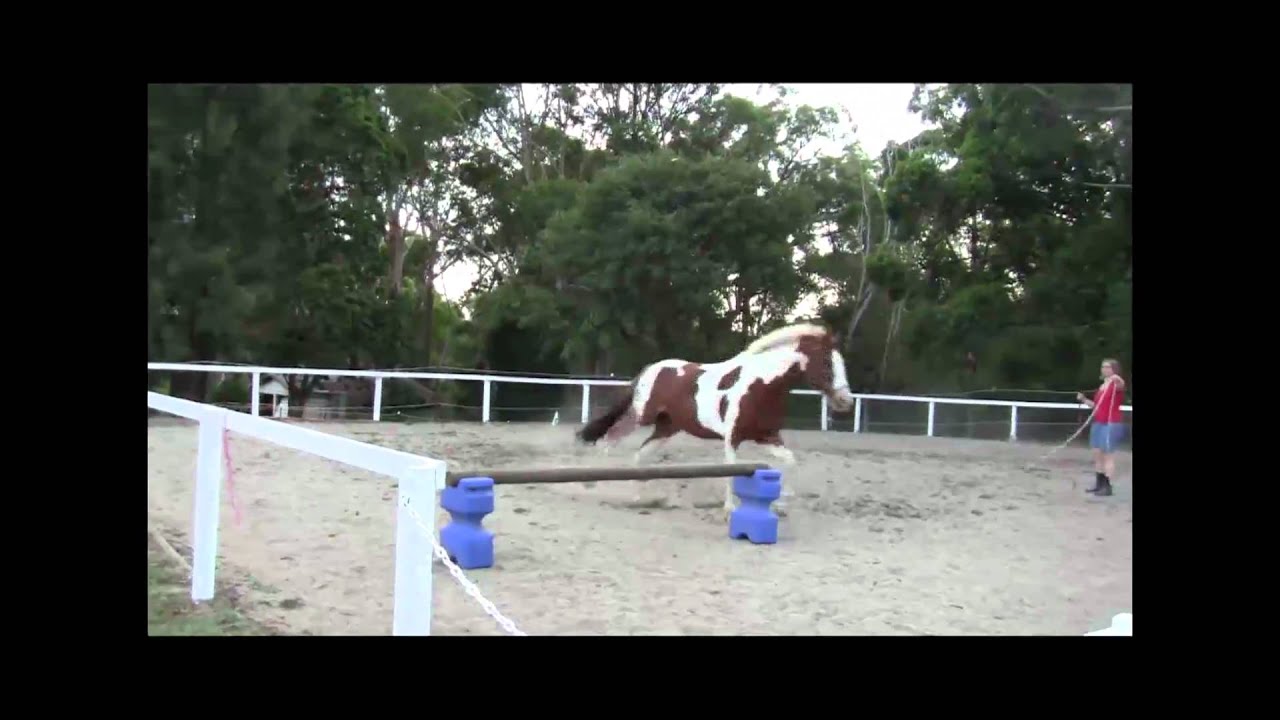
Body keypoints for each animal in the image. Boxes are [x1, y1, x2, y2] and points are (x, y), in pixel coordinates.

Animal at [576, 323, 856, 516]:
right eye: (827, 364)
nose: (846, 401)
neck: (761, 386)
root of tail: (649, 370)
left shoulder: (767, 437)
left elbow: (791, 462)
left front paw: (782, 501)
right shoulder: (732, 438)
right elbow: (731, 470)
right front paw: (730, 508)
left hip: (667, 427)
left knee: (639, 456)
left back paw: (639, 499)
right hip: (641, 416)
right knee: (609, 439)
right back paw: (594, 482)